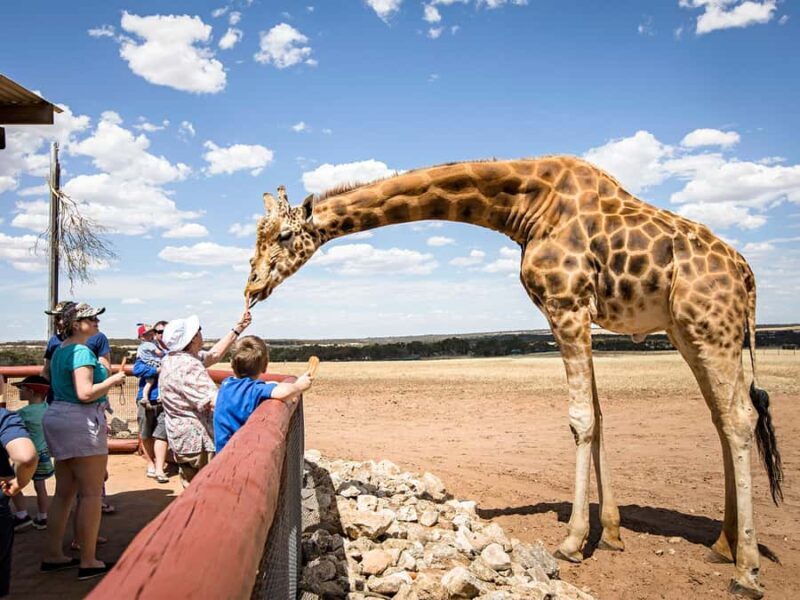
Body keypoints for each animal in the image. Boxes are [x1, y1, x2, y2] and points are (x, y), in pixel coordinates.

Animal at [244, 156, 783, 598]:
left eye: (285, 236)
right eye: (256, 236)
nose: (252, 286)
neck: (523, 206)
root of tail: (748, 276)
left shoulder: (567, 305)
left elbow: (582, 418)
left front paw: (572, 541)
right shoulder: (576, 314)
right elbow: (600, 415)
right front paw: (610, 534)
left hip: (709, 325)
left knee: (739, 418)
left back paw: (747, 571)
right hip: (688, 331)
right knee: (722, 418)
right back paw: (722, 545)